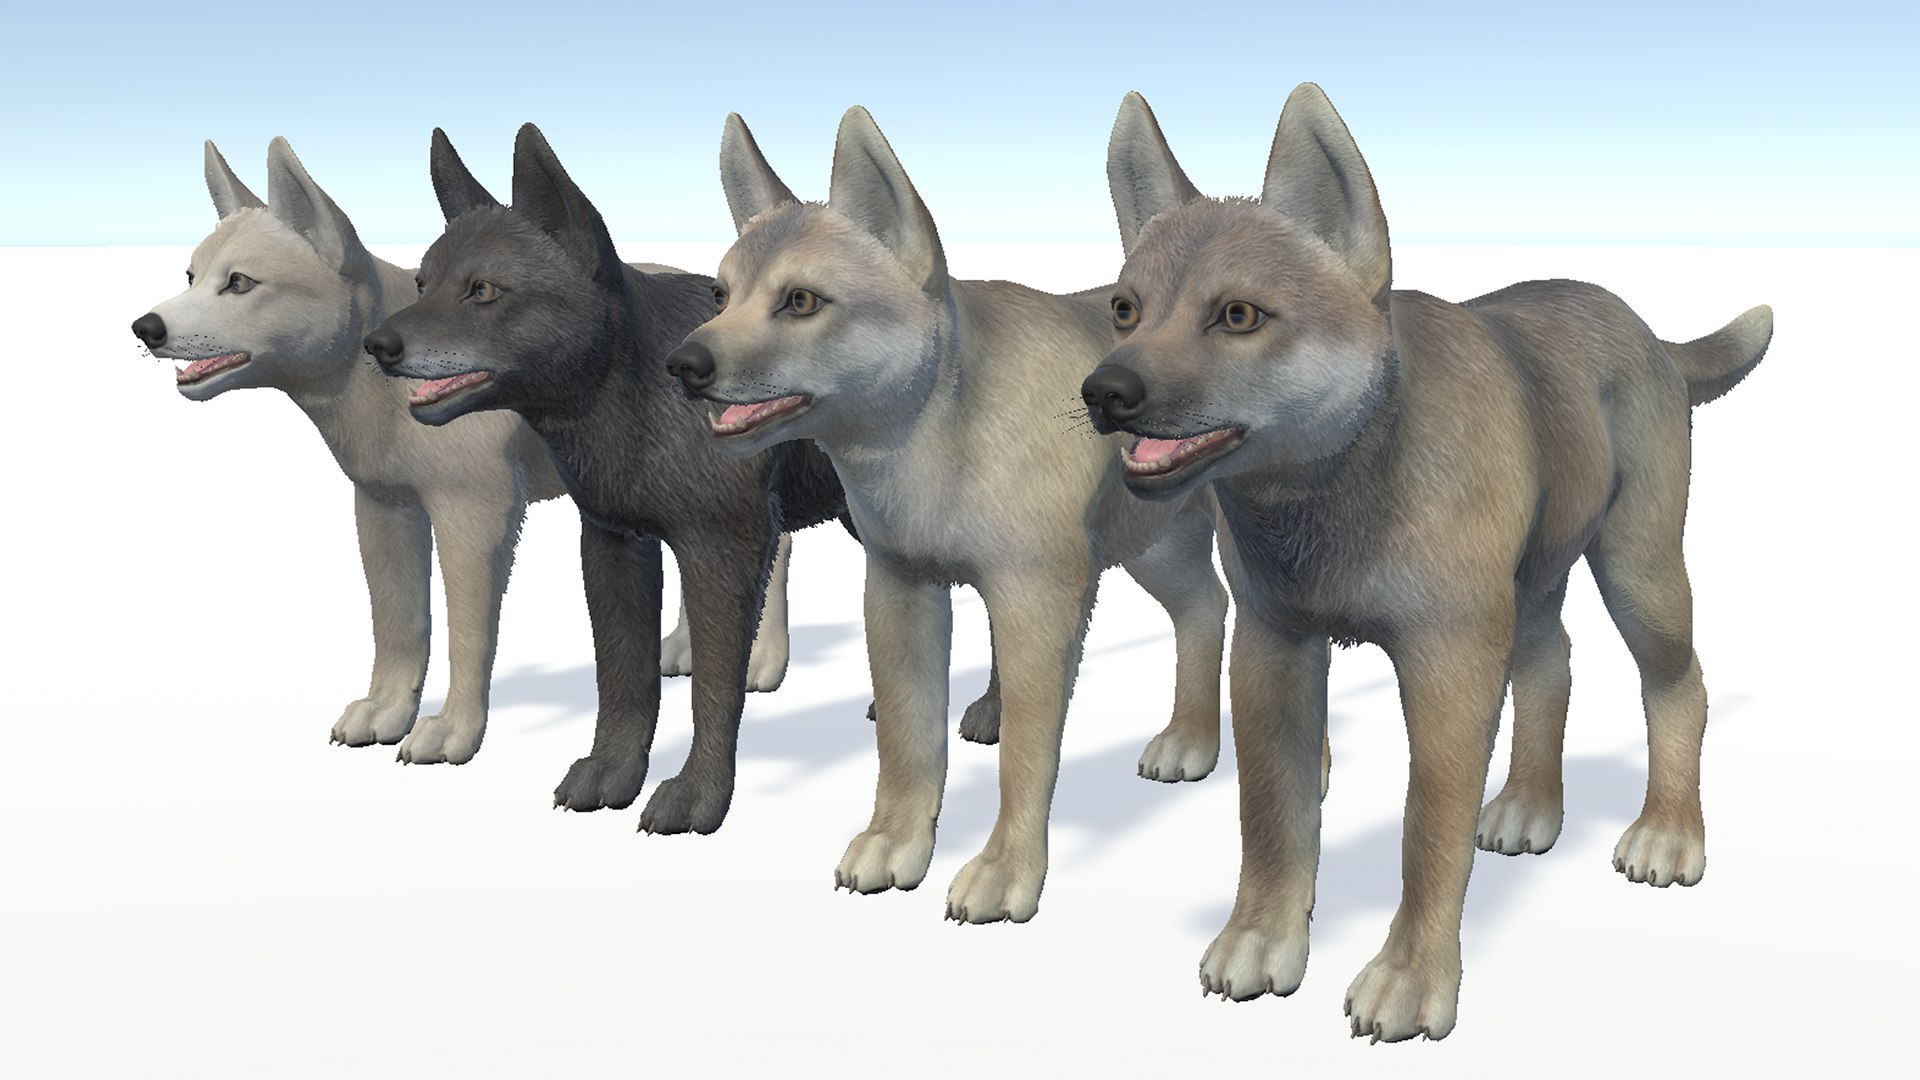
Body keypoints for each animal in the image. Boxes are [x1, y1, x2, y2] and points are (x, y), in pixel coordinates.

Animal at [131, 140, 795, 767]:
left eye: (239, 283)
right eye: (191, 277)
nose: (145, 328)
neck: (374, 386)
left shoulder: (475, 517)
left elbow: (467, 635)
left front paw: (454, 730)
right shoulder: (384, 510)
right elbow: (397, 622)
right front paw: (387, 708)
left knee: (778, 546)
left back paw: (761, 658)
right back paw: (686, 644)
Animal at [362, 124, 855, 833]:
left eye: (482, 291)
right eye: (424, 284)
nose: (376, 345)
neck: (633, 394)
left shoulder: (721, 551)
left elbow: (712, 689)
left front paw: (699, 796)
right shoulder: (613, 542)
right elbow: (623, 676)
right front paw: (613, 774)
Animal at [667, 108, 1230, 923]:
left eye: (800, 301)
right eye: (720, 296)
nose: (683, 365)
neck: (940, 439)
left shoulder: (1035, 598)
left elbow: (1028, 755)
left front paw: (1005, 870)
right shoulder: (900, 588)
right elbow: (906, 738)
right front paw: (896, 841)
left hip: (1161, 548)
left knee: (1218, 610)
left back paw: (1208, 742)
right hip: (1142, 550)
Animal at [1082, 84, 1771, 1041]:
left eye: (1239, 316)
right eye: (1124, 309)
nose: (1105, 392)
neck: (1337, 487)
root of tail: (1640, 326)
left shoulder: (1450, 662)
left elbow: (1425, 832)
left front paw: (1410, 978)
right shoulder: (1272, 647)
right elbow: (1270, 815)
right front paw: (1262, 936)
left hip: (1639, 574)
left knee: (1679, 683)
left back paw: (1669, 831)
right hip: (1529, 585)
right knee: (1553, 663)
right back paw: (1529, 804)